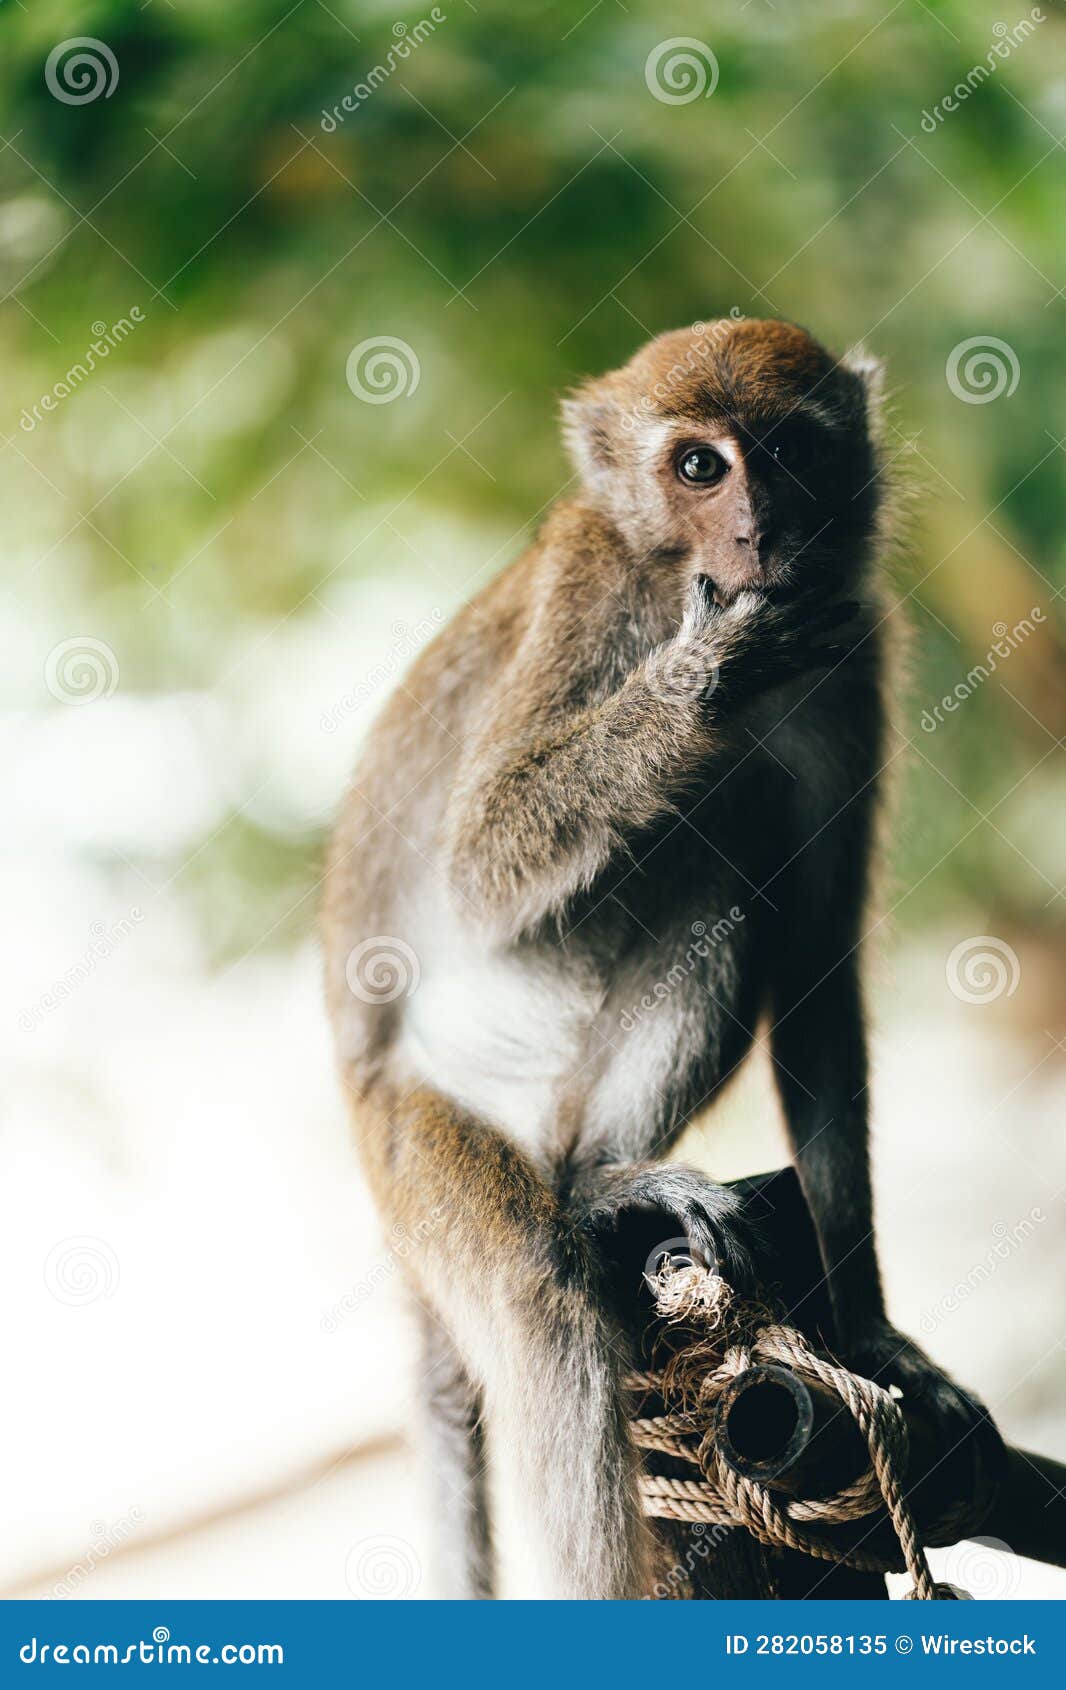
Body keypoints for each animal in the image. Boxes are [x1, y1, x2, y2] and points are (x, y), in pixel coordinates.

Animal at [323, 317, 987, 1599]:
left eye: (789, 450)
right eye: (697, 467)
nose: (761, 530)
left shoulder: (854, 651)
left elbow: (817, 969)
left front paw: (875, 1333)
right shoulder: (588, 587)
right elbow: (477, 867)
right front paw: (712, 674)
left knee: (733, 887)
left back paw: (600, 1178)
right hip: (412, 1141)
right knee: (538, 1298)